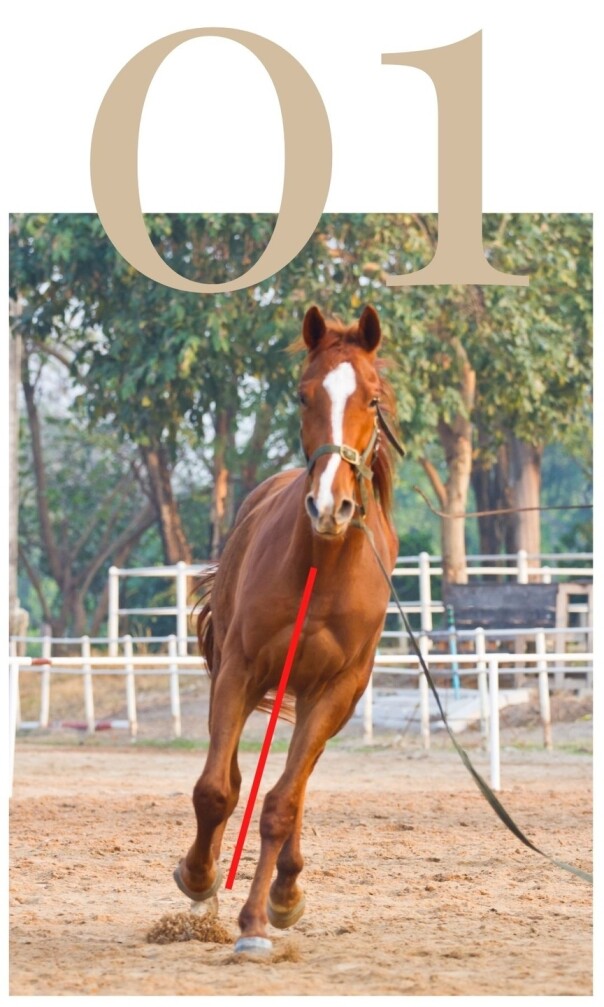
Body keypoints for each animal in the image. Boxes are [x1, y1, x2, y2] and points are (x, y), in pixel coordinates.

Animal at [173, 304, 400, 954]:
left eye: (372, 398)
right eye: (303, 395)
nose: (330, 506)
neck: (321, 568)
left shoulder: (336, 692)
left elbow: (280, 805)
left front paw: (258, 918)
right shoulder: (241, 672)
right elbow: (216, 790)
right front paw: (198, 878)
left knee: (291, 793)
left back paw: (284, 890)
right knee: (232, 778)